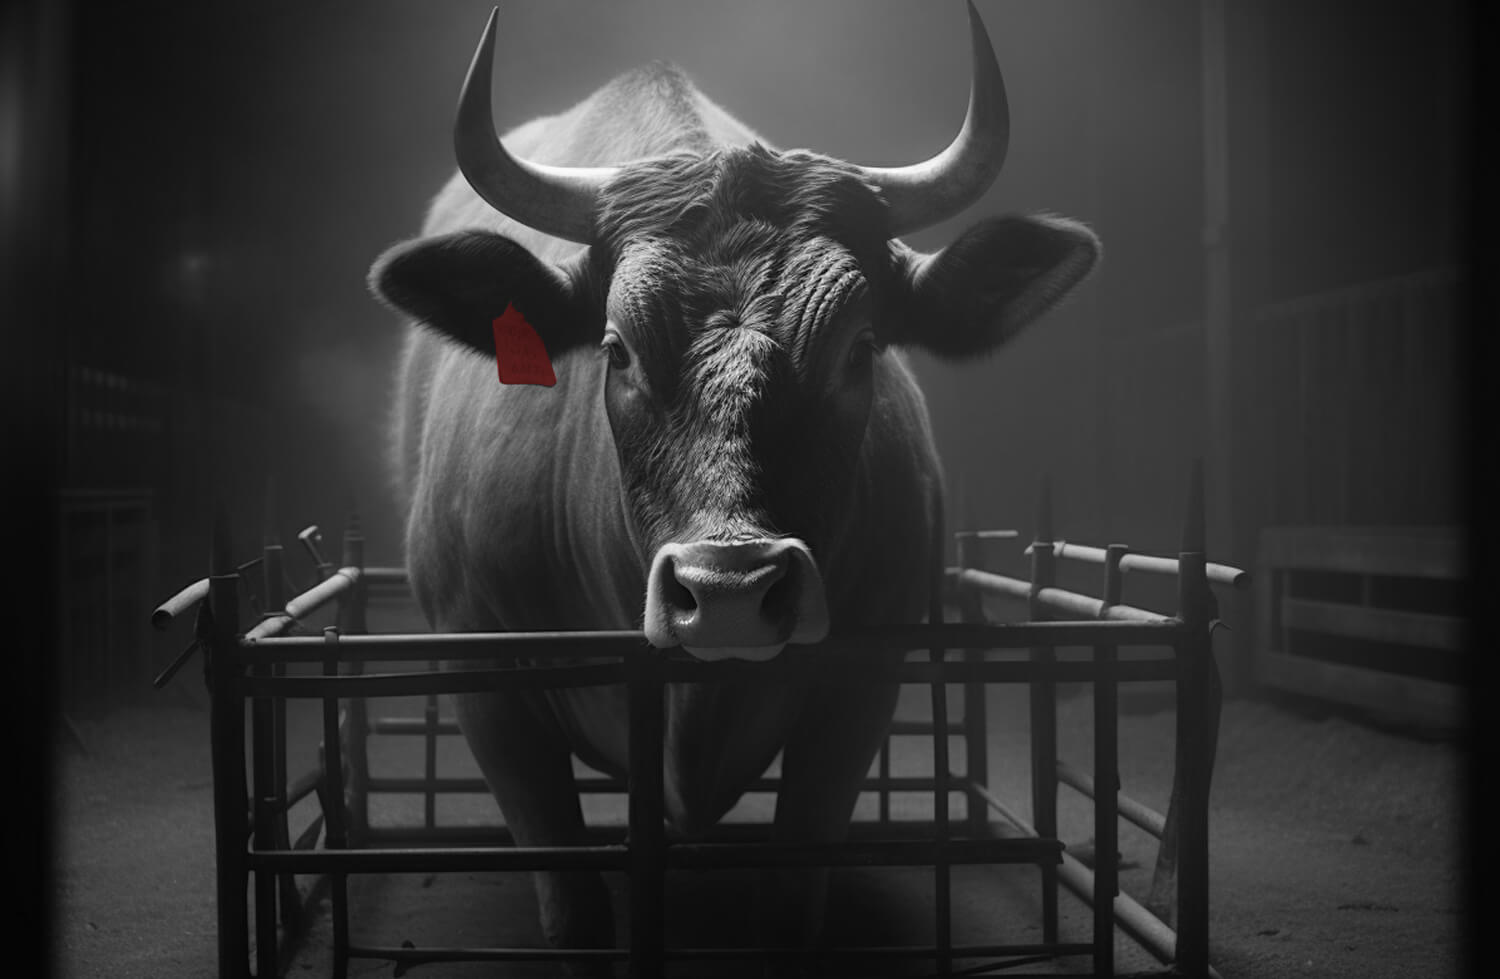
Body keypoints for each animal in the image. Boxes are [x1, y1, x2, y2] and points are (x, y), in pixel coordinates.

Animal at [368, 3, 1098, 973]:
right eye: (617, 349)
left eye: (860, 348)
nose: (730, 590)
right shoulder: (483, 676)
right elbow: (574, 915)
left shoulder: (862, 686)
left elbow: (789, 908)